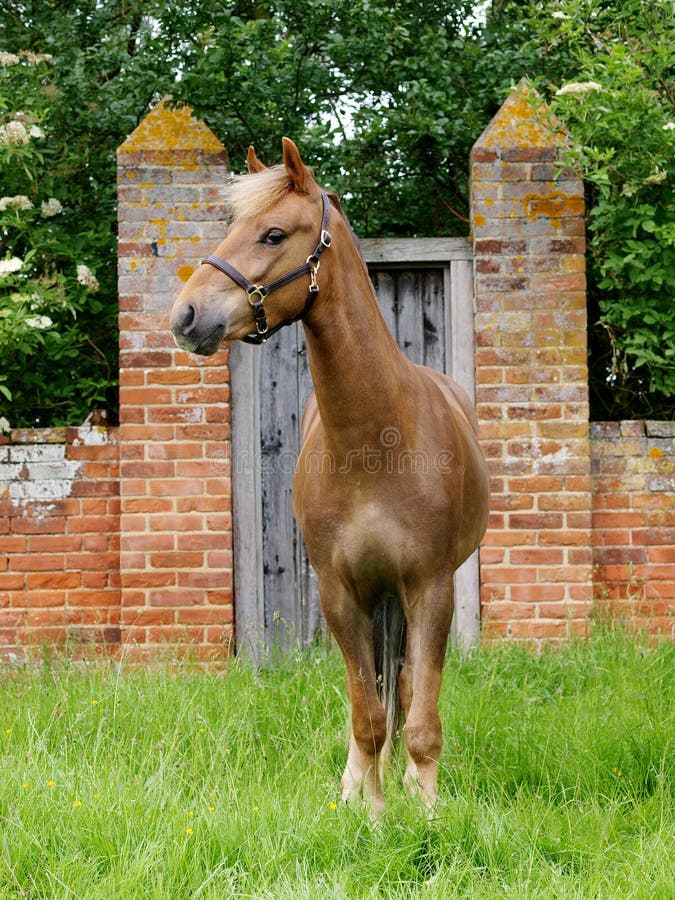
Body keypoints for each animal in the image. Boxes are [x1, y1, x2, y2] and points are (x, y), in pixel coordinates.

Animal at [170, 138, 490, 816]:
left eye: (271, 233)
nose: (185, 315)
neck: (377, 444)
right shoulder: (340, 594)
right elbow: (366, 714)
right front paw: (370, 809)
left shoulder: (431, 588)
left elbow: (418, 715)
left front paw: (425, 810)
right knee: (368, 696)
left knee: (402, 686)